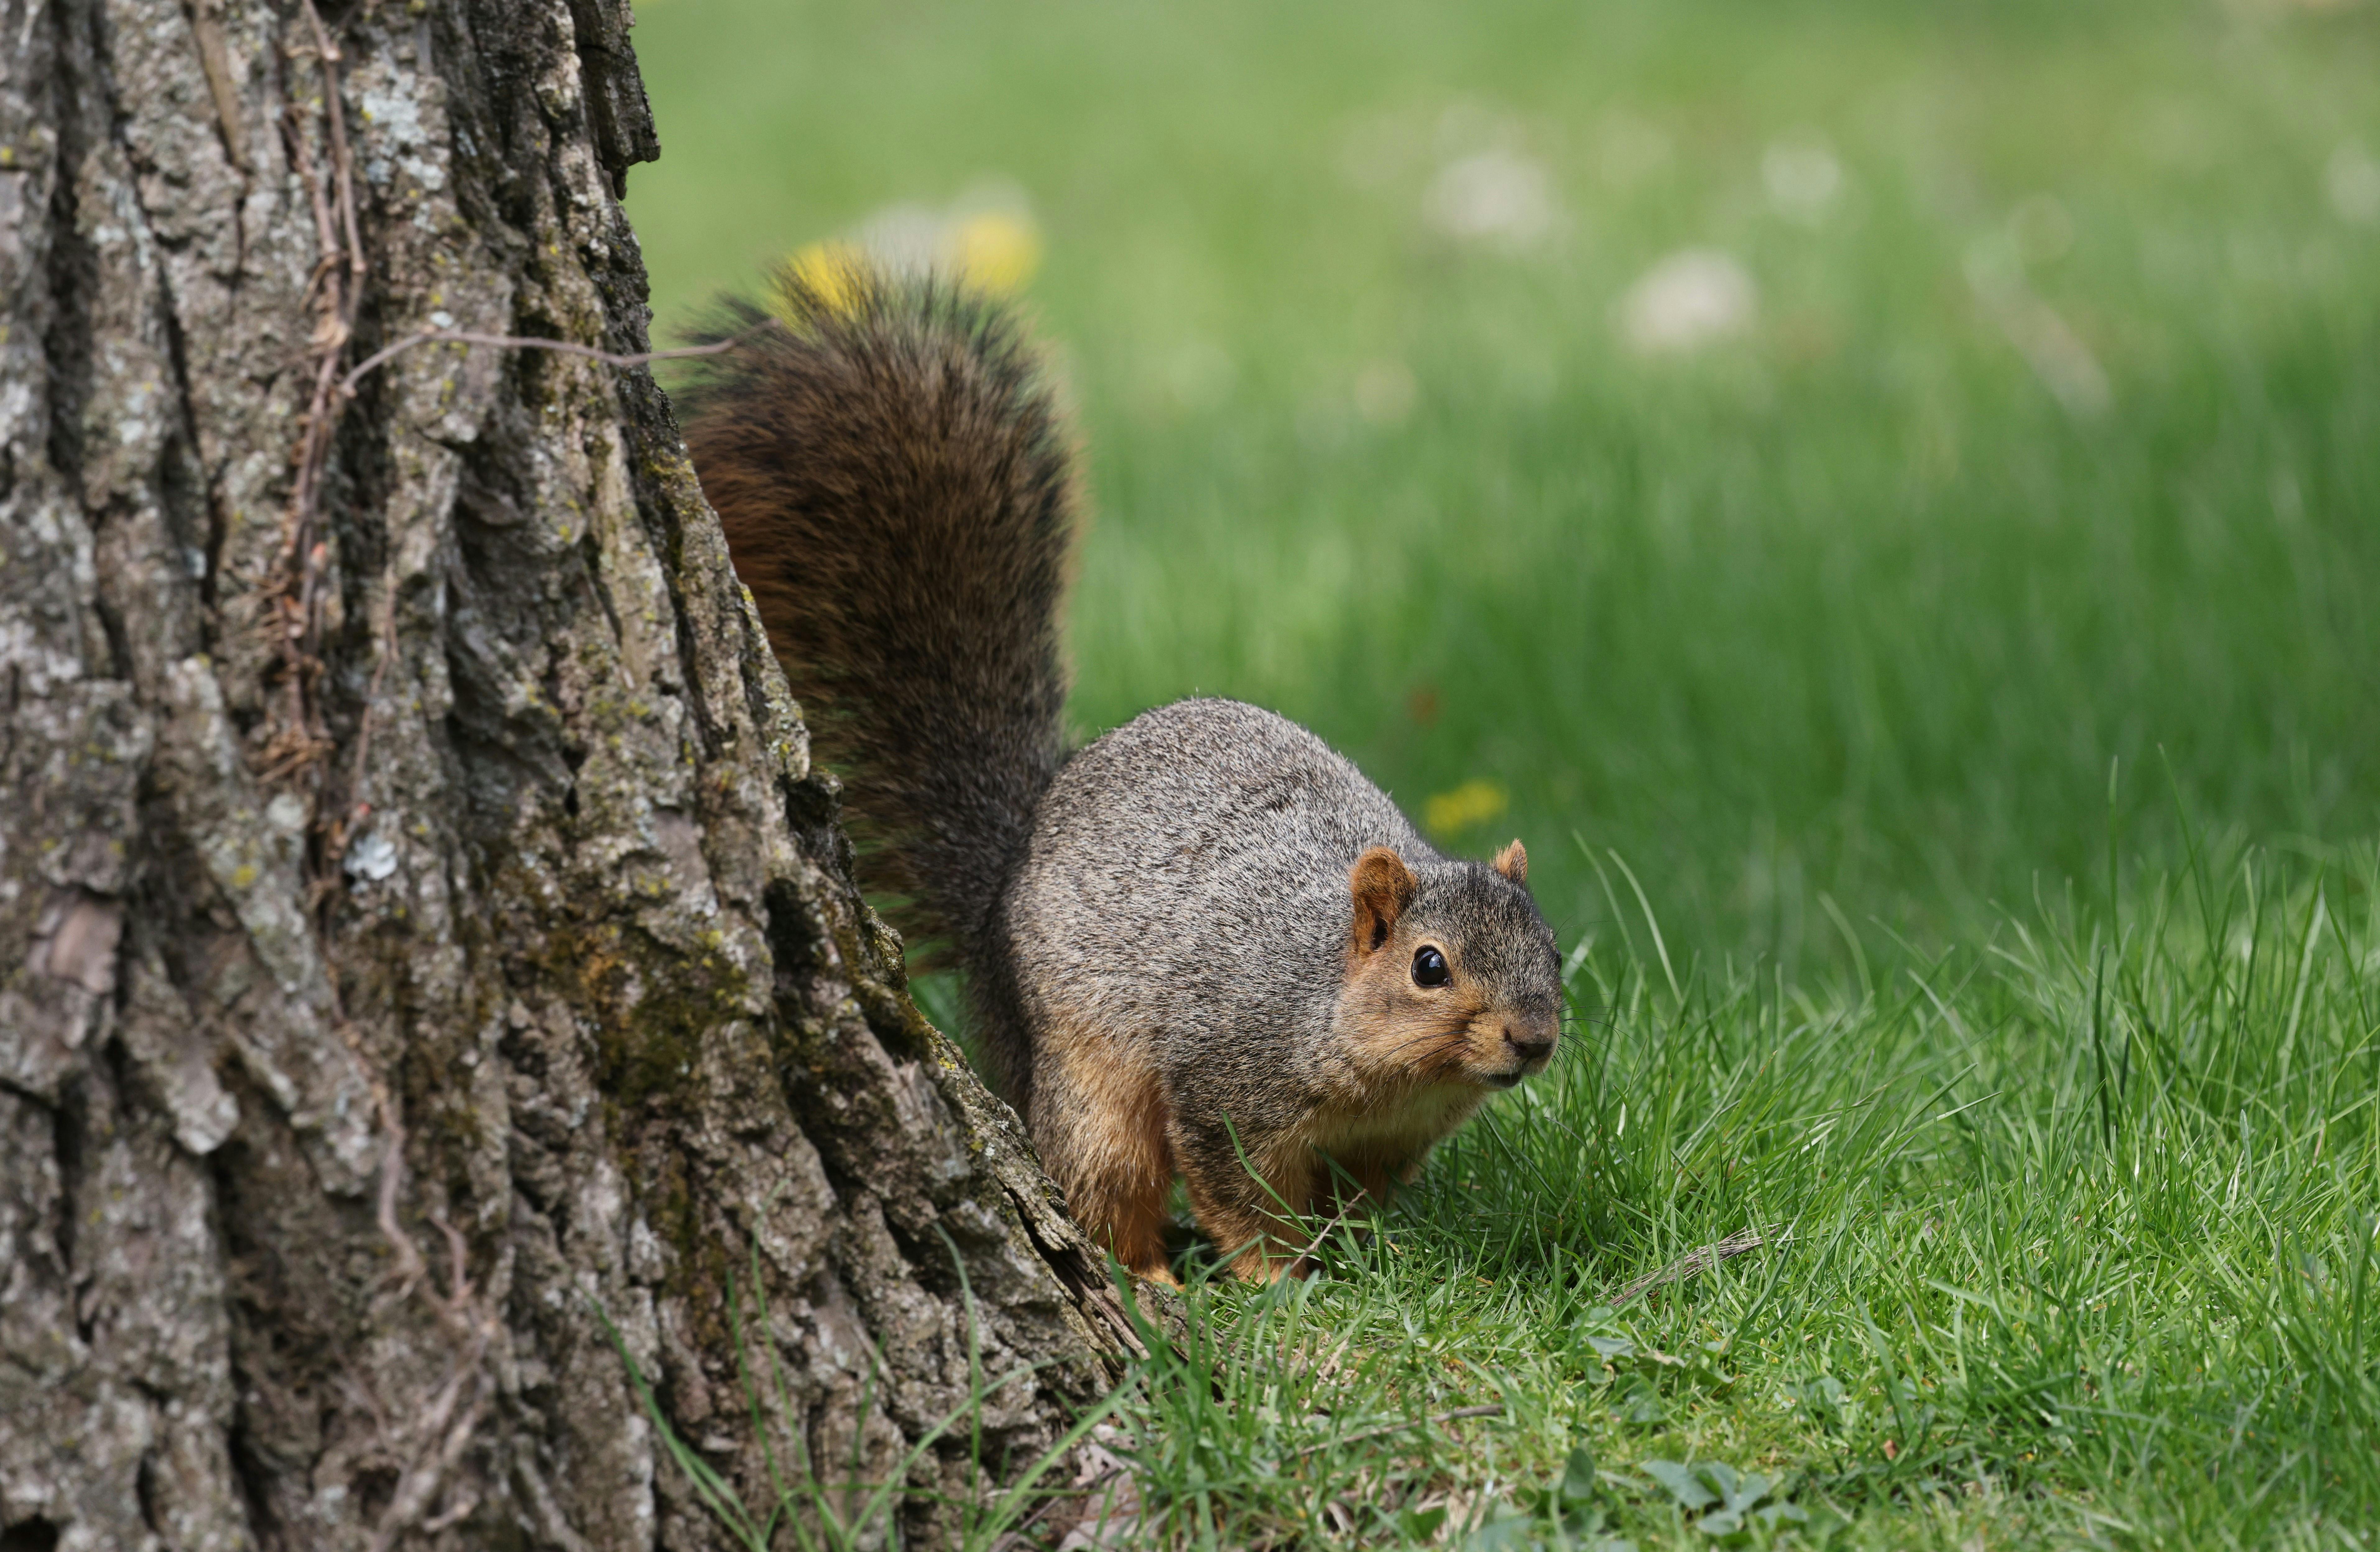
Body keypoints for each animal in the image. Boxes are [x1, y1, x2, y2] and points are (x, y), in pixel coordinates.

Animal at [678, 269, 1563, 1282]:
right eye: (1428, 966)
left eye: (1551, 947)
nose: (1534, 1039)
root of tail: (1009, 869)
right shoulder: (1224, 1084)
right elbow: (1239, 1196)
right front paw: (1276, 1278)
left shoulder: (1388, 1143)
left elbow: (1354, 1203)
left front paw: (1359, 1257)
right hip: (1085, 1081)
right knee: (1100, 1181)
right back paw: (1145, 1274)